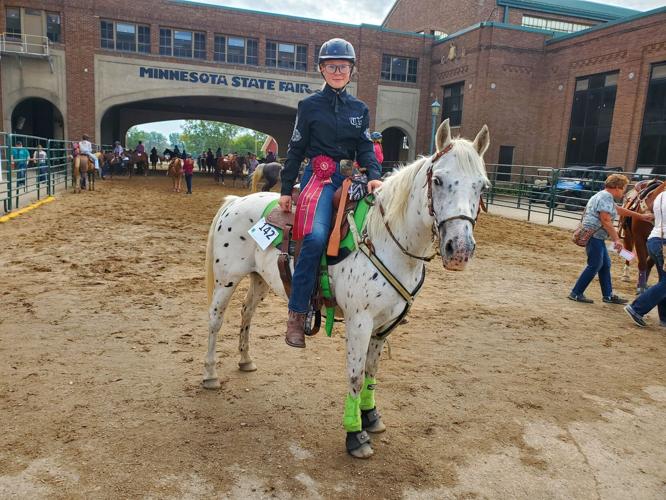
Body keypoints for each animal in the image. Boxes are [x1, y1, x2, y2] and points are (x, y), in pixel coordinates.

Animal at [202, 119, 490, 458]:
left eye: (483, 186)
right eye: (439, 180)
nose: (459, 249)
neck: (386, 240)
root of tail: (235, 202)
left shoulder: (384, 325)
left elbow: (371, 372)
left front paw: (371, 415)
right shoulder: (359, 321)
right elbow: (354, 375)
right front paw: (355, 435)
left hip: (260, 279)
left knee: (246, 314)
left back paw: (245, 360)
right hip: (226, 280)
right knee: (215, 321)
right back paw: (210, 375)